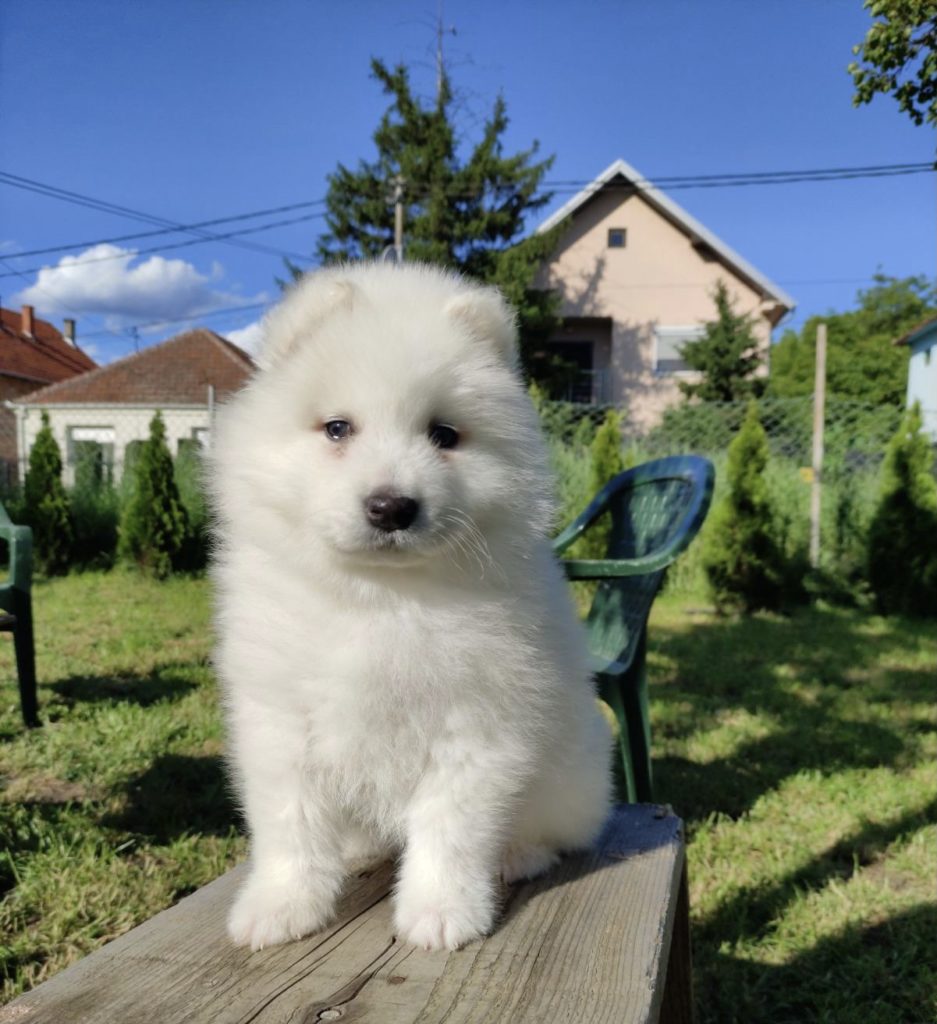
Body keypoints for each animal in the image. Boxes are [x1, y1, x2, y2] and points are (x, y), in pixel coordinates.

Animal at [208, 262, 610, 950]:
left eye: (443, 435)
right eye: (337, 428)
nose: (392, 507)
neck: (381, 597)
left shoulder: (477, 722)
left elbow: (452, 830)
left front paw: (441, 913)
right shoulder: (281, 721)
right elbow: (290, 825)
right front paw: (281, 906)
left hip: (572, 771)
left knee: (551, 829)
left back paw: (519, 854)